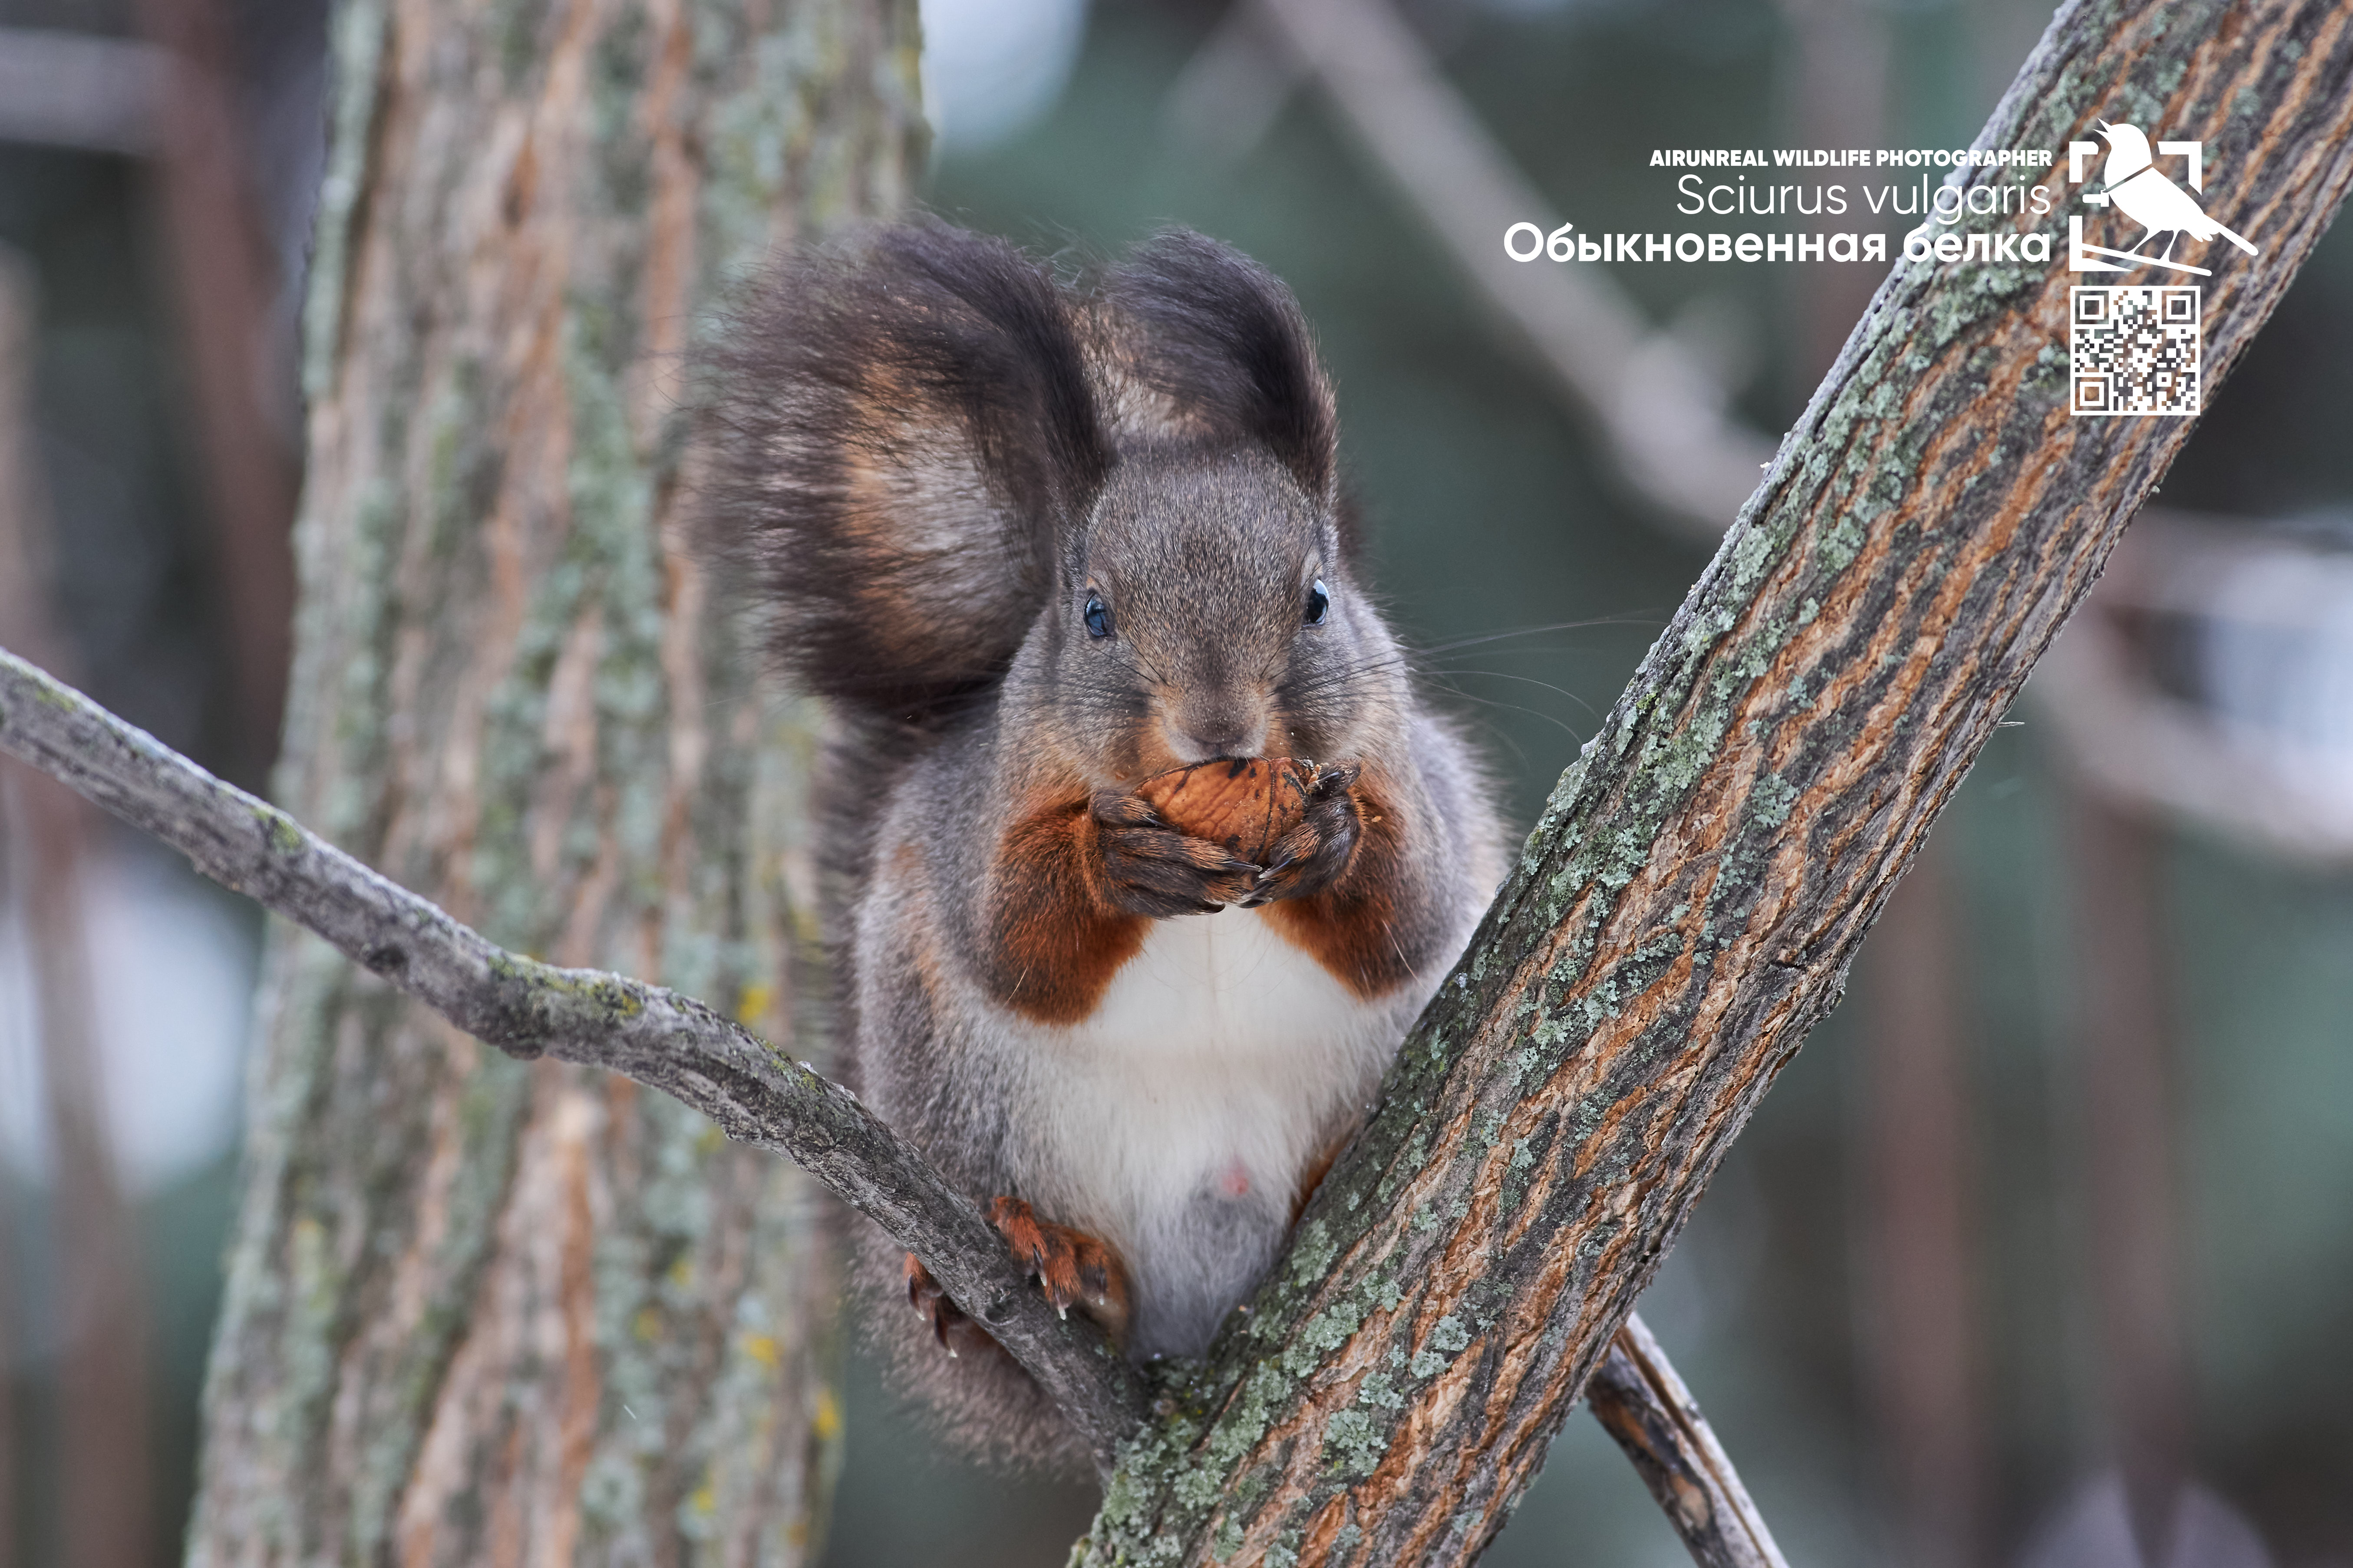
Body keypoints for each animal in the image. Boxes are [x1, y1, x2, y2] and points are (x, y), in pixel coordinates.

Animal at [701, 221, 1506, 1476]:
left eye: (1319, 600)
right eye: (1092, 614)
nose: (1220, 732)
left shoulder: (1411, 779)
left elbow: (1408, 911)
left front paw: (1333, 840)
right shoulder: (977, 816)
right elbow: (1012, 938)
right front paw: (1115, 866)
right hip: (949, 1092)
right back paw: (1045, 1264)